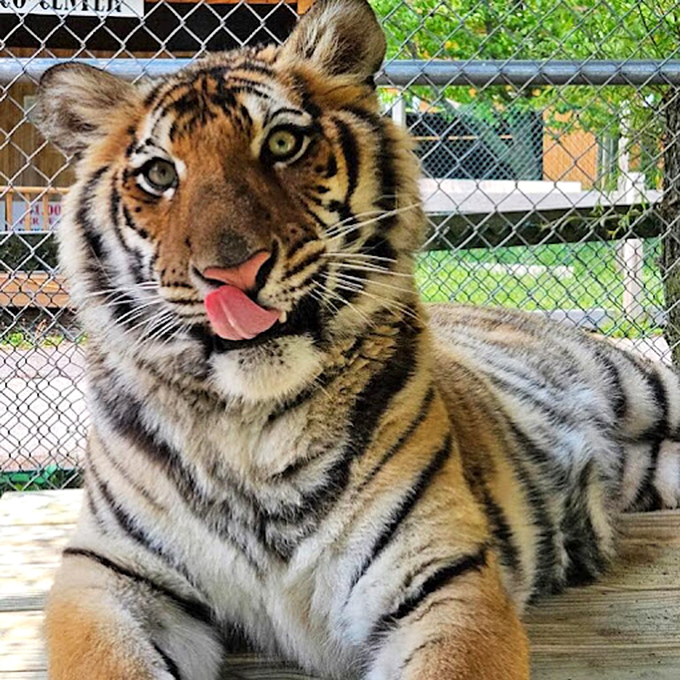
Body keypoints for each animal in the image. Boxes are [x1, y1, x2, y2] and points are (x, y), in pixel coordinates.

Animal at [36, 0, 680, 678]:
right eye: (160, 174)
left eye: (283, 143)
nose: (233, 272)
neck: (249, 431)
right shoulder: (109, 572)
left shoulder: (441, 576)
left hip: (639, 382)